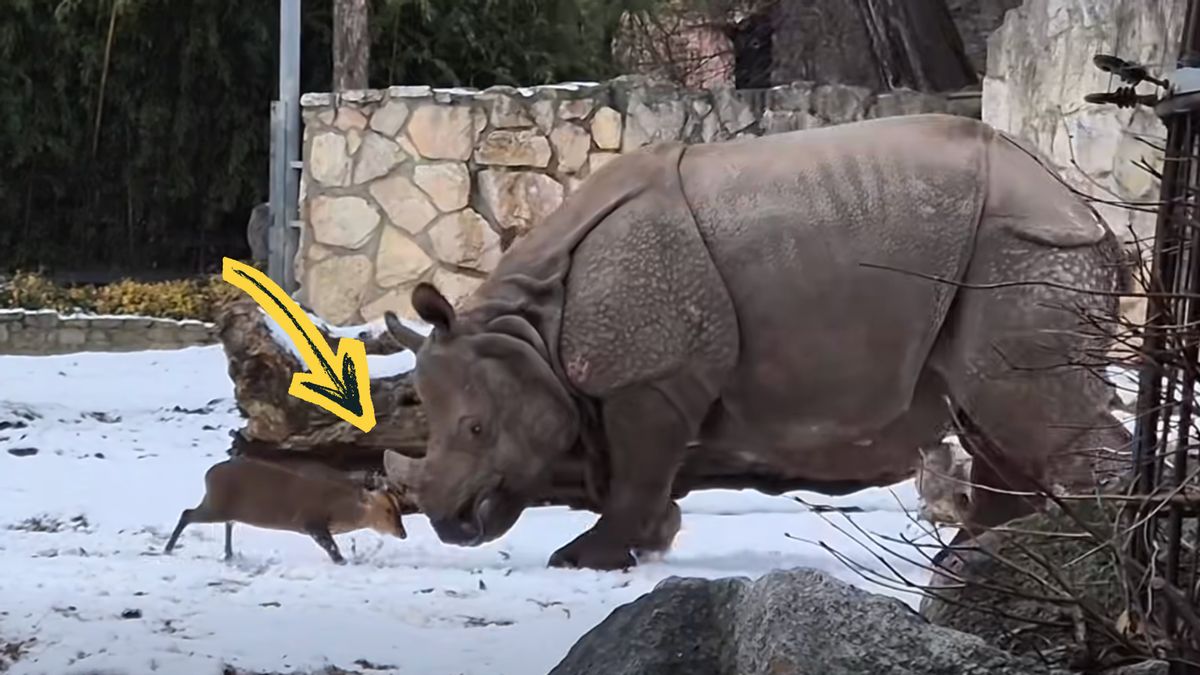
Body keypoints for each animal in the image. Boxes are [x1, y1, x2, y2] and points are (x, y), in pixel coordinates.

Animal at [163, 456, 410, 564]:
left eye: (399, 507)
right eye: (387, 510)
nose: (403, 533)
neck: (340, 510)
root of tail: (208, 475)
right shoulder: (309, 520)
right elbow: (330, 545)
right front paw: (342, 560)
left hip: (223, 507)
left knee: (227, 523)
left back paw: (229, 554)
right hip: (215, 505)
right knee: (187, 513)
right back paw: (167, 549)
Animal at [381, 113, 1130, 570]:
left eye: (476, 428)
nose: (448, 521)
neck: (530, 328)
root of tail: (1084, 206)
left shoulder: (651, 372)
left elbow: (637, 465)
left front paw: (583, 558)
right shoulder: (632, 374)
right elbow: (628, 473)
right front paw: (649, 544)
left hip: (1026, 248)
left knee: (1021, 402)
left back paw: (1074, 557)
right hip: (1011, 251)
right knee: (993, 415)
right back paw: (977, 561)